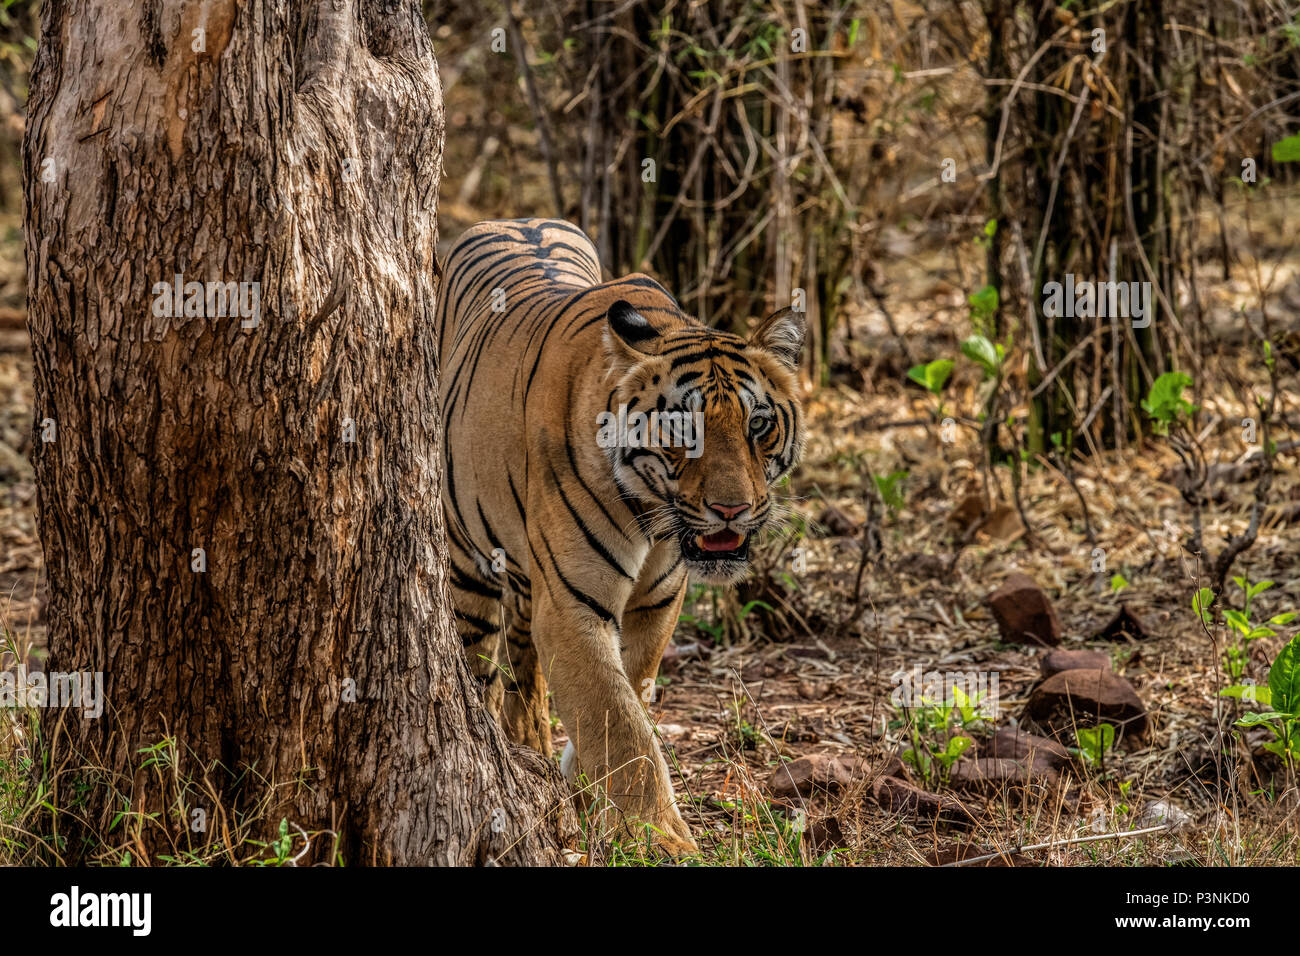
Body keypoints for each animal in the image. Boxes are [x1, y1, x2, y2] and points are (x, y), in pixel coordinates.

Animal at [435, 218, 806, 855]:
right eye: (682, 429)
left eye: (758, 424)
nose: (731, 509)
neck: (653, 518)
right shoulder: (574, 604)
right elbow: (619, 722)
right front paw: (659, 839)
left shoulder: (657, 601)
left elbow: (629, 694)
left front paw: (589, 797)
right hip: (467, 562)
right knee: (477, 661)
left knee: (524, 663)